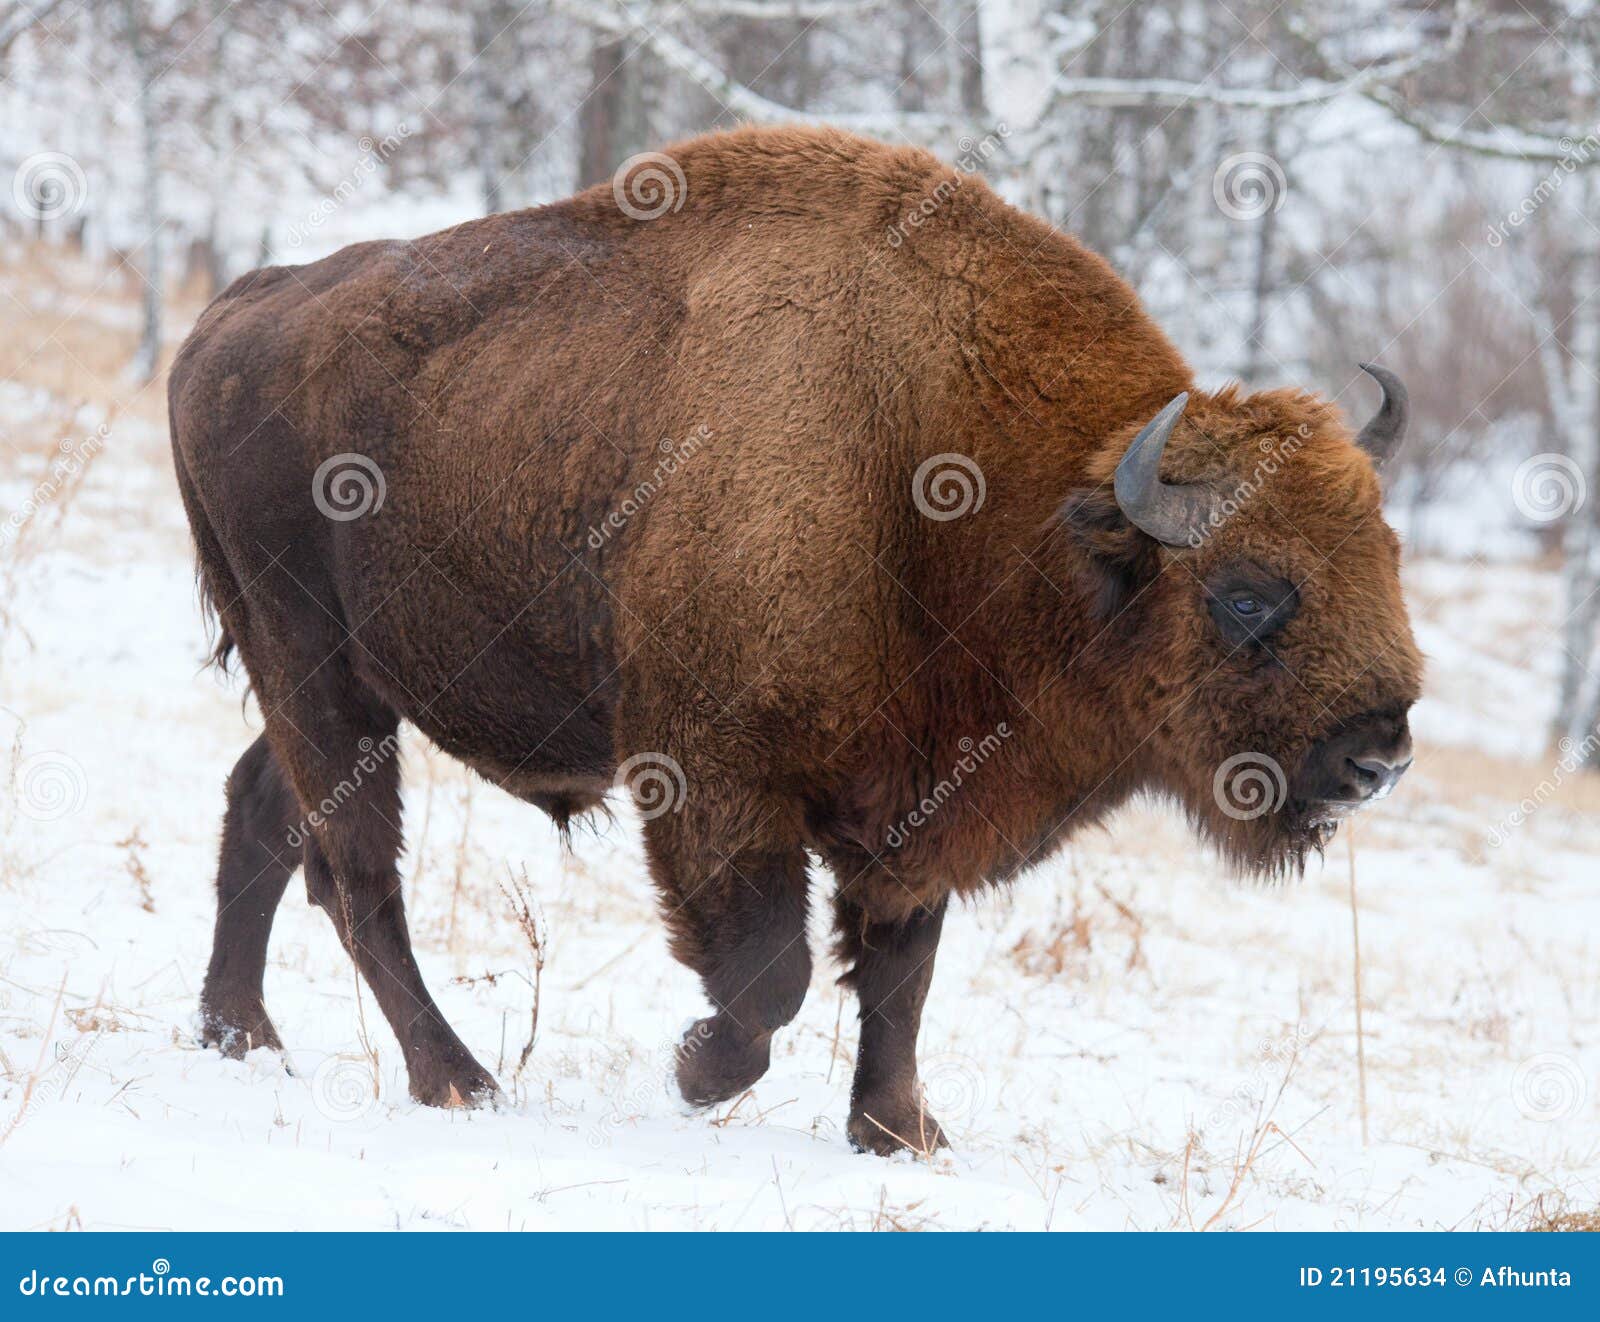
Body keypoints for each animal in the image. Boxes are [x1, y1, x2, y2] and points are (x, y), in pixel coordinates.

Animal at [170, 125, 1421, 1154]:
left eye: (1386, 553)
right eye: (1249, 593)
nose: (1377, 753)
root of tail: (230, 317)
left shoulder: (919, 800)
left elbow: (900, 969)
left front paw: (899, 1132)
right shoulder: (716, 773)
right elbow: (773, 971)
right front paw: (696, 1072)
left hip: (346, 689)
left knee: (264, 813)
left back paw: (240, 1032)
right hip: (313, 667)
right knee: (355, 873)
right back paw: (456, 1079)